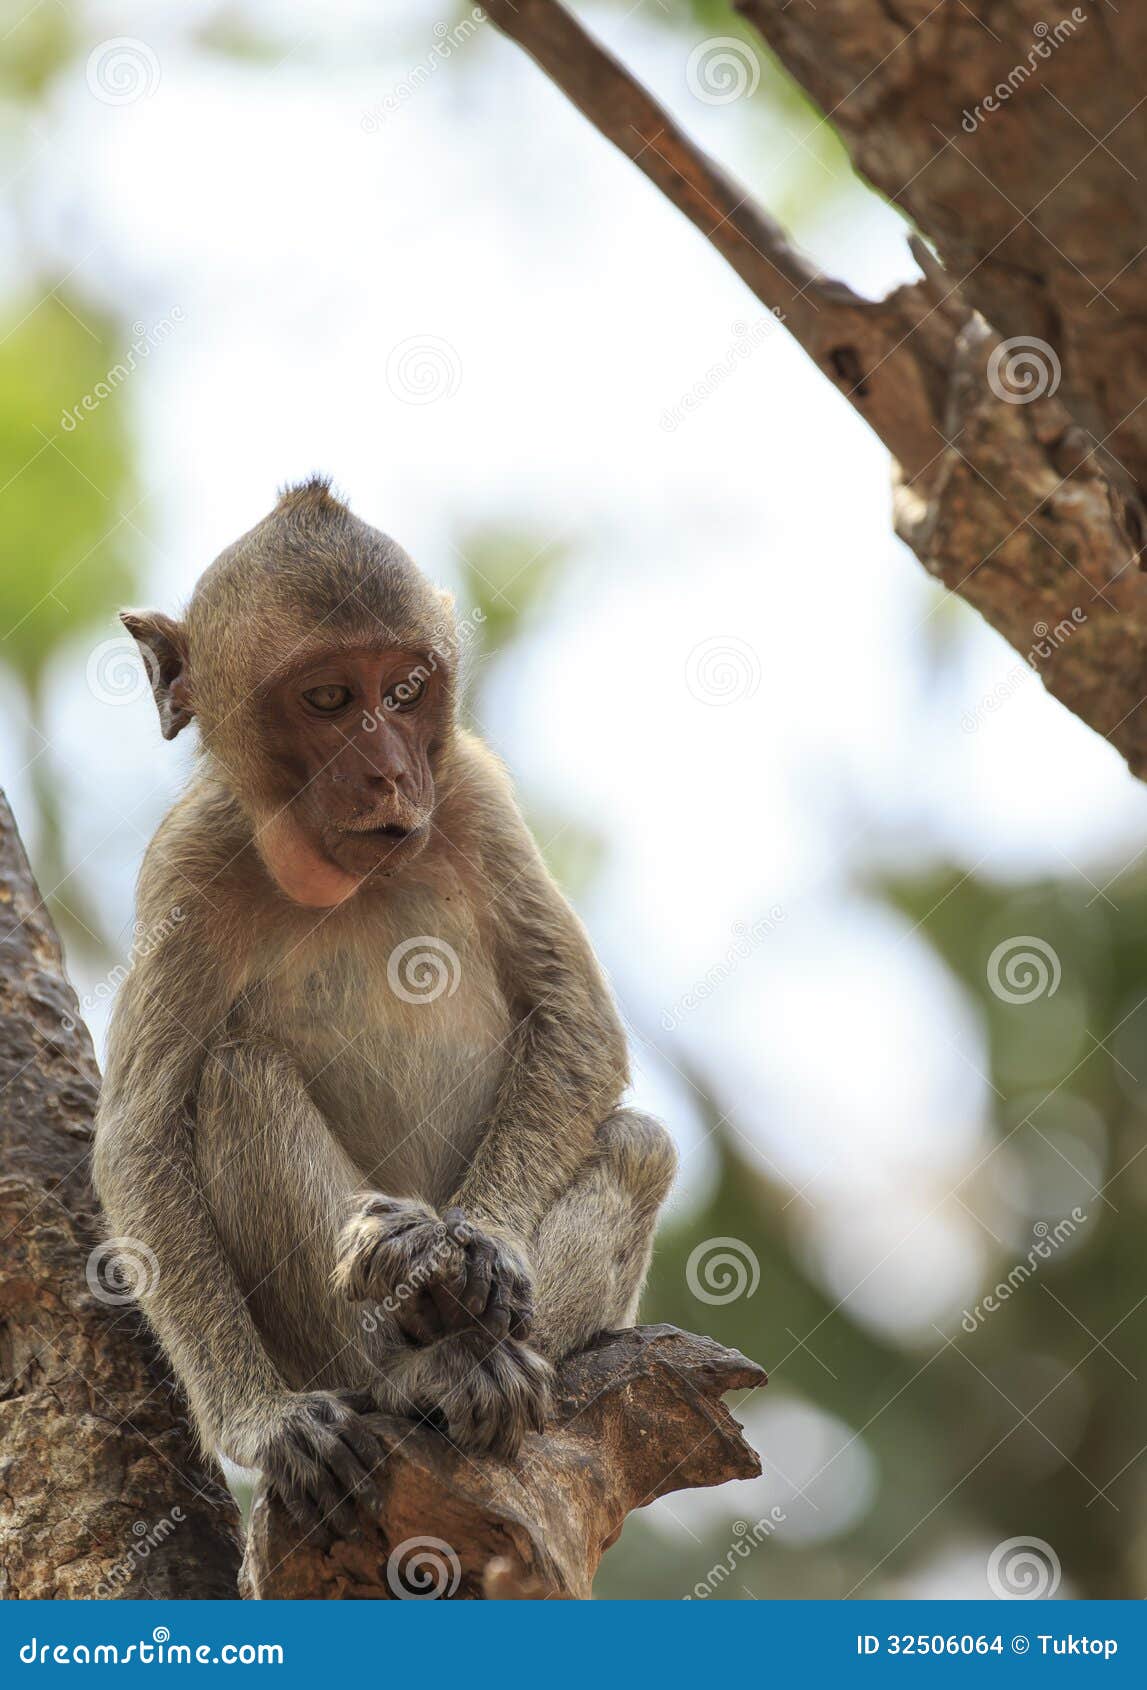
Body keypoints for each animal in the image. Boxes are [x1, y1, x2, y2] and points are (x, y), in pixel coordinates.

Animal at [92, 478, 678, 1531]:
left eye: (404, 692)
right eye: (328, 700)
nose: (390, 775)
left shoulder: (476, 795)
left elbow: (576, 1021)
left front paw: (474, 1242)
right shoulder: (188, 863)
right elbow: (141, 1137)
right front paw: (260, 1422)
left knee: (637, 1145)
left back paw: (470, 1321)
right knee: (237, 1080)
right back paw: (425, 1366)